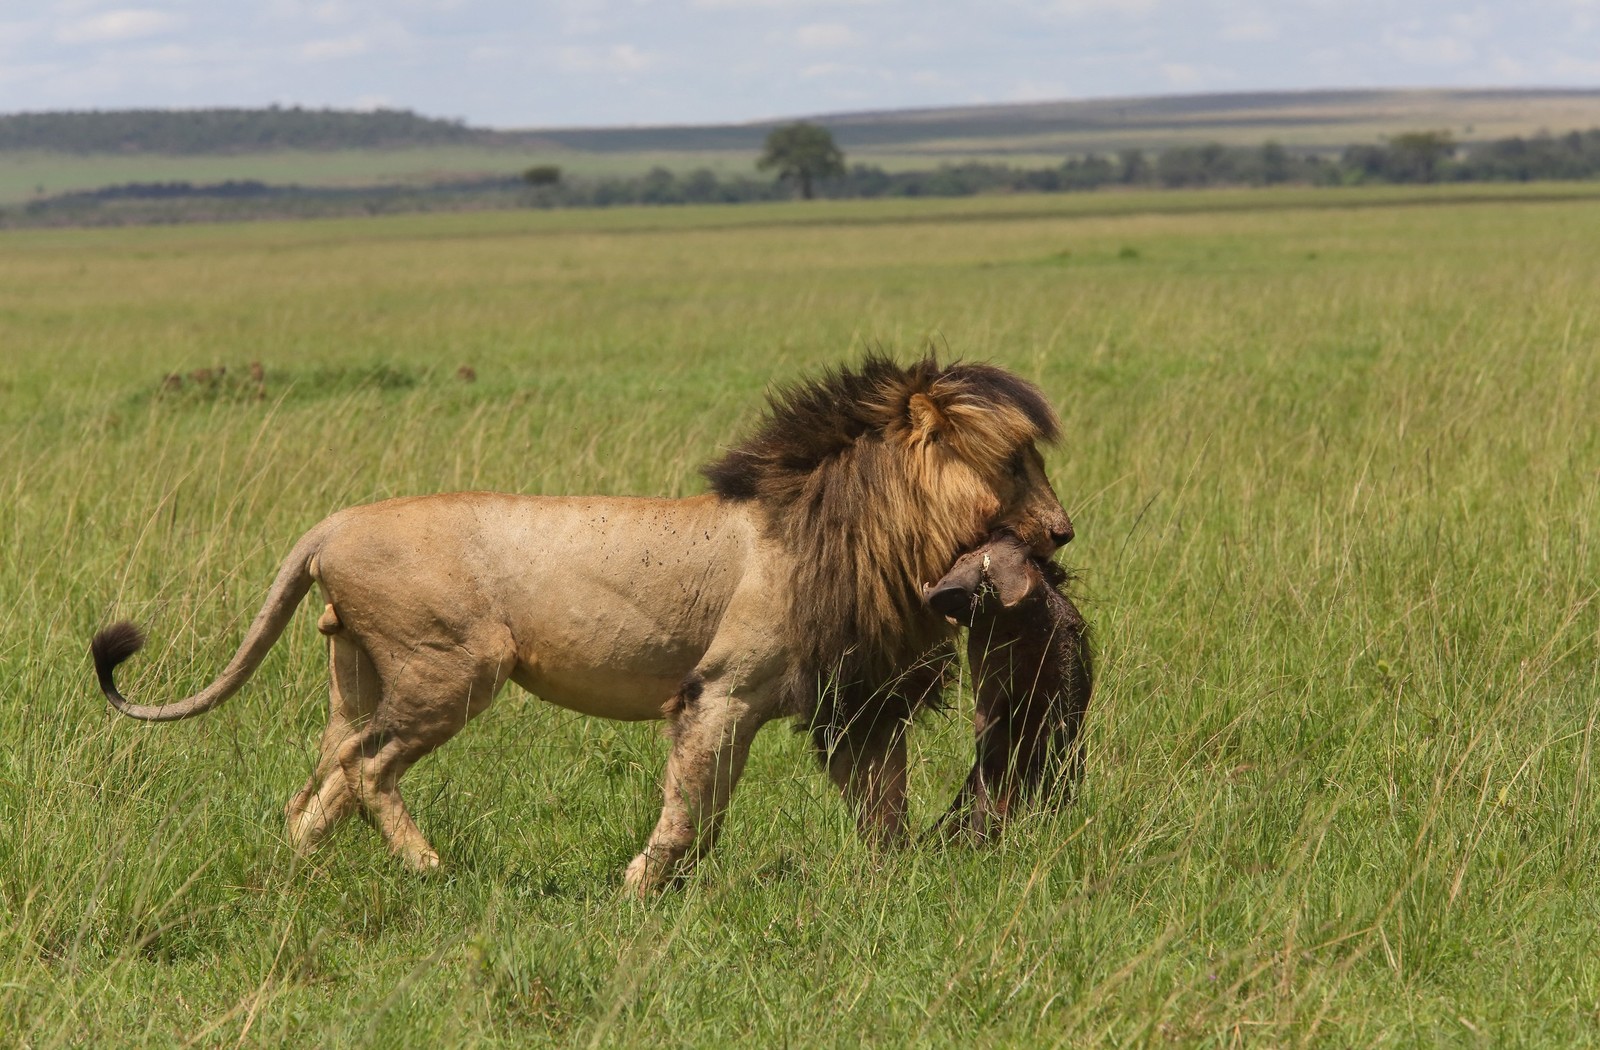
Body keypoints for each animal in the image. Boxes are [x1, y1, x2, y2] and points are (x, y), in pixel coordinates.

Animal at [91, 354, 1072, 893]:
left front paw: (890, 886)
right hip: (454, 667)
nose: (1064, 532)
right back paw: (432, 871)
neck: (865, 530)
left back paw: (303, 871)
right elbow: (690, 807)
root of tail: (330, 526)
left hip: (359, 674)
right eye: (1017, 464)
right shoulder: (721, 692)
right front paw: (640, 895)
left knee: (320, 782)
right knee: (368, 770)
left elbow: (874, 804)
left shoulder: (846, 698)